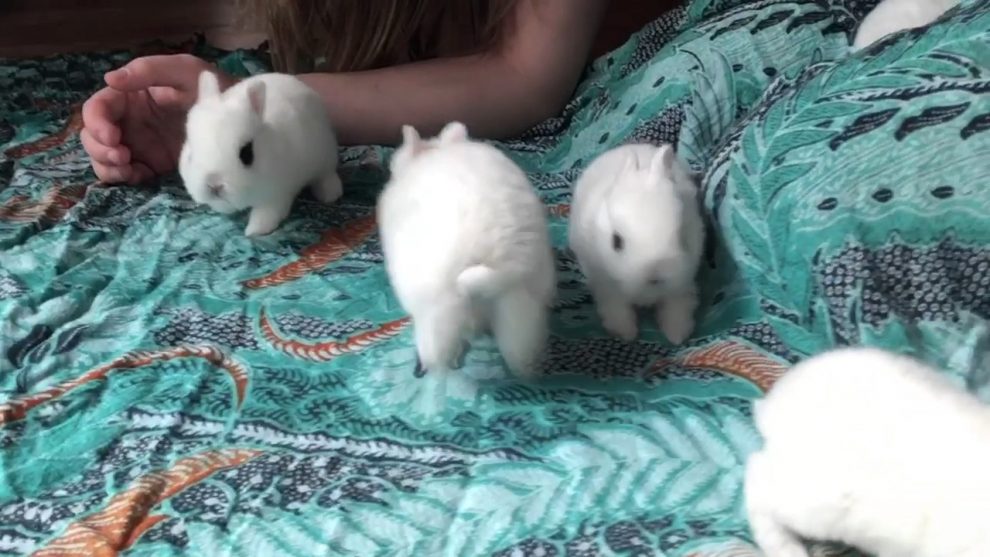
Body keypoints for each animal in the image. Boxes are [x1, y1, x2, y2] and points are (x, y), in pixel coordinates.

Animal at [178, 70, 343, 237]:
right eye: (190, 156)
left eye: (247, 154)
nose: (214, 185)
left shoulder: (276, 195)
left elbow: (266, 215)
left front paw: (254, 231)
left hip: (326, 157)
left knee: (327, 176)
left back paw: (330, 195)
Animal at [568, 143, 704, 344]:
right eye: (616, 242)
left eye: (682, 235)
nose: (655, 277)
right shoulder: (607, 287)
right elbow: (617, 310)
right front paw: (626, 334)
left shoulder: (682, 286)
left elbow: (676, 309)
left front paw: (676, 336)